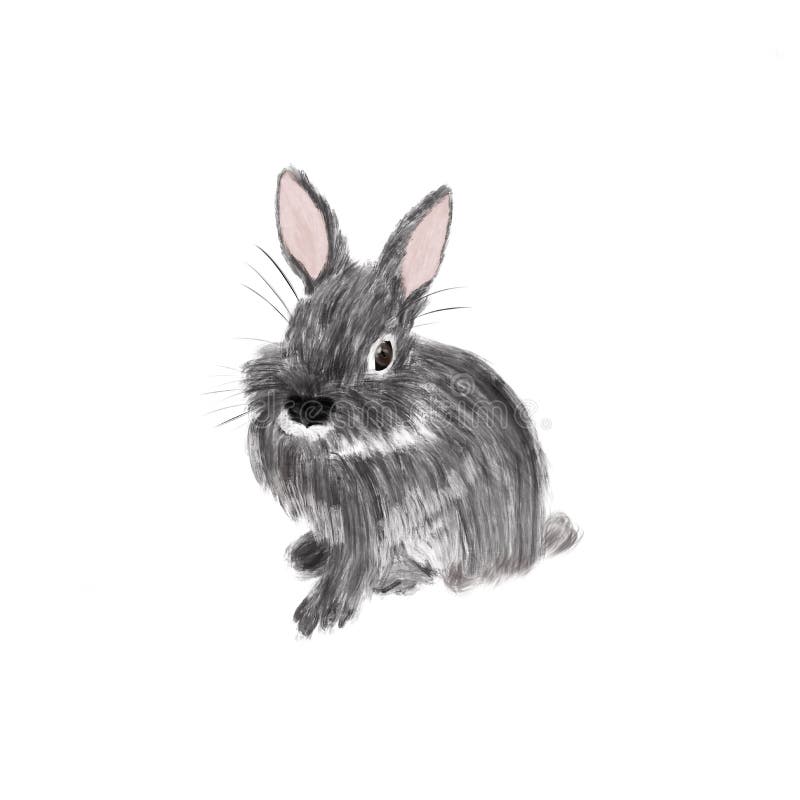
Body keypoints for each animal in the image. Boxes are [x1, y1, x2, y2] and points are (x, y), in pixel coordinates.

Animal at [243, 167, 579, 636]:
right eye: (293, 334)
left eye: (383, 354)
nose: (307, 407)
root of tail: (529, 546)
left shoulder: (373, 525)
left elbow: (354, 567)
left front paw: (320, 614)